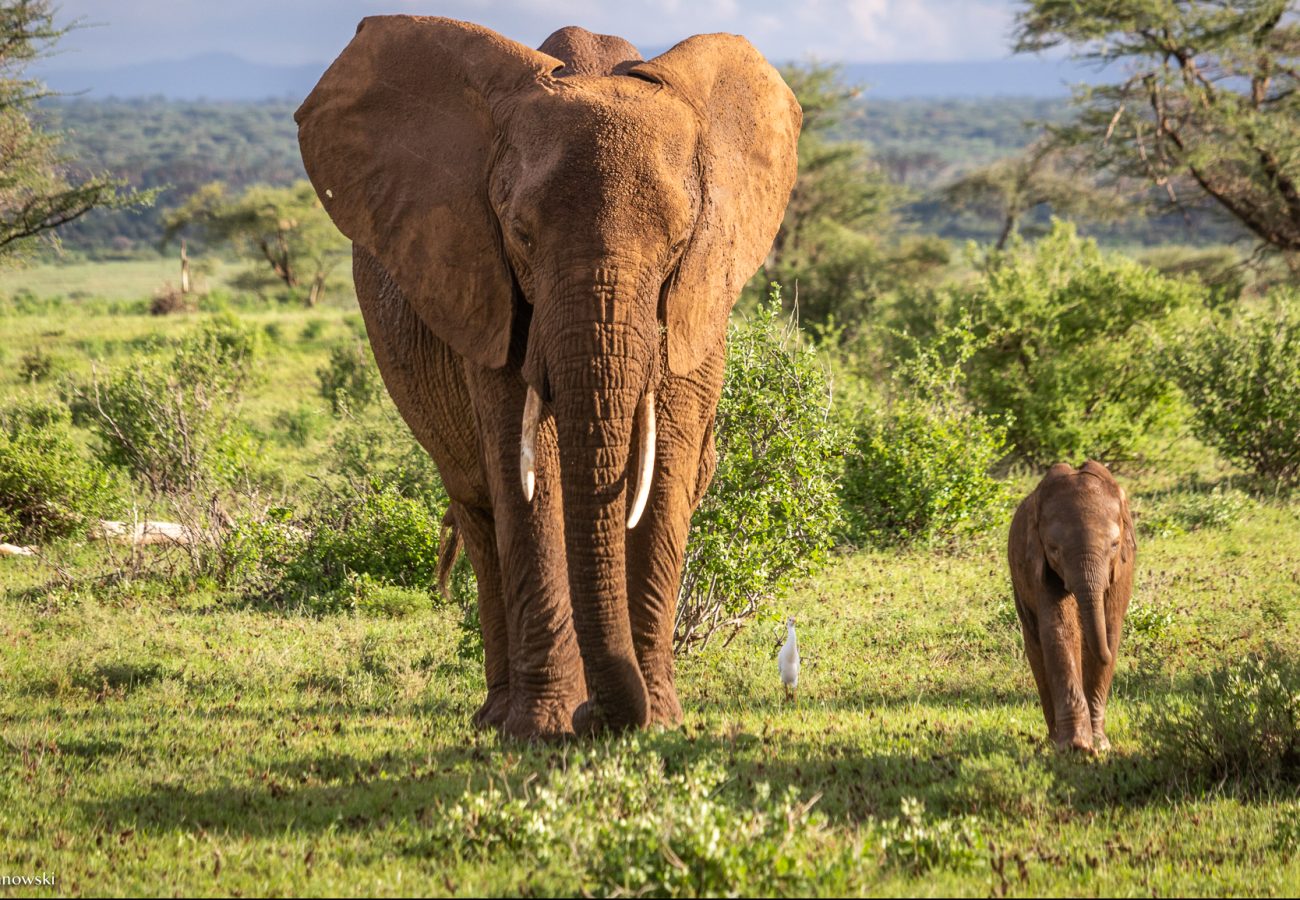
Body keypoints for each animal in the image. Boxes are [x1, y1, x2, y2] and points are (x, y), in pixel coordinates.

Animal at [295, 17, 801, 739]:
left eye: (678, 243)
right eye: (521, 236)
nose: (594, 715)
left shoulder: (699, 303)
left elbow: (665, 473)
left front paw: (658, 720)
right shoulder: (489, 297)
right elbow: (528, 476)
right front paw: (542, 727)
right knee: (479, 507)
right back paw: (494, 715)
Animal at [1008, 460, 1136, 753]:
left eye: (1114, 546)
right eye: (1054, 549)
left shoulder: (1123, 567)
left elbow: (1109, 625)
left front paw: (1099, 744)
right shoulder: (1037, 565)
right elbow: (1060, 630)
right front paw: (1076, 746)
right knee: (1036, 645)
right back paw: (1054, 738)